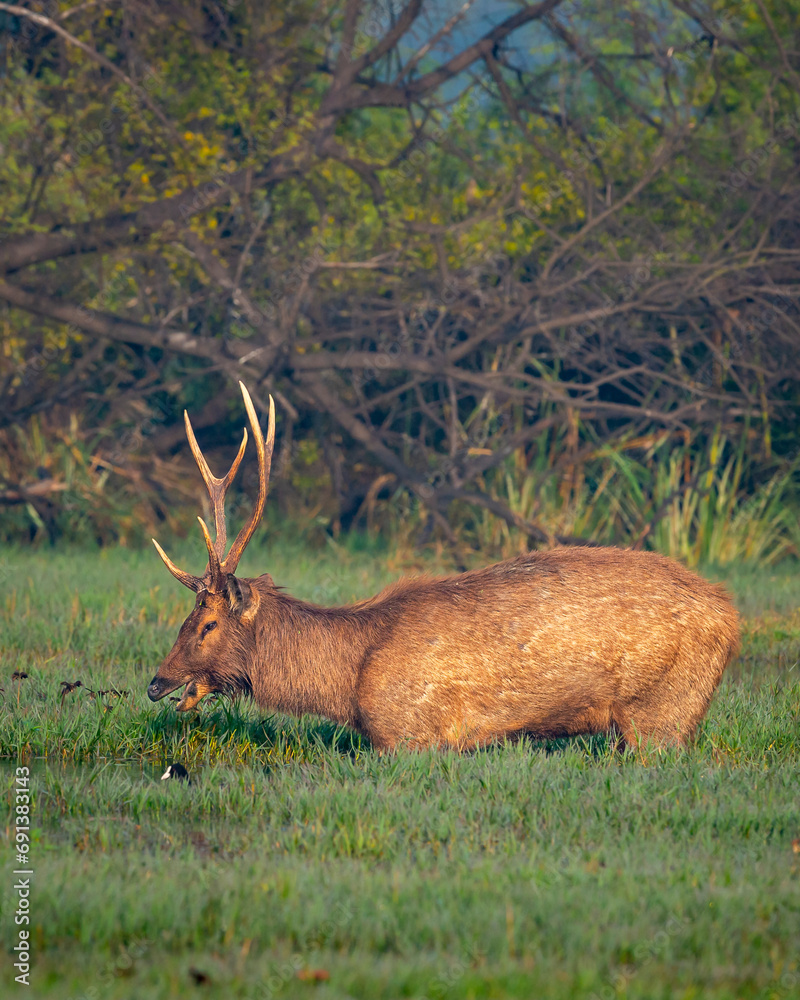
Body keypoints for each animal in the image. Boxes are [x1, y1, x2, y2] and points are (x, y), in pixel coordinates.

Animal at [147, 382, 740, 751]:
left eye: (207, 624)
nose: (155, 684)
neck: (348, 682)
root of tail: (730, 616)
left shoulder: (409, 734)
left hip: (660, 714)